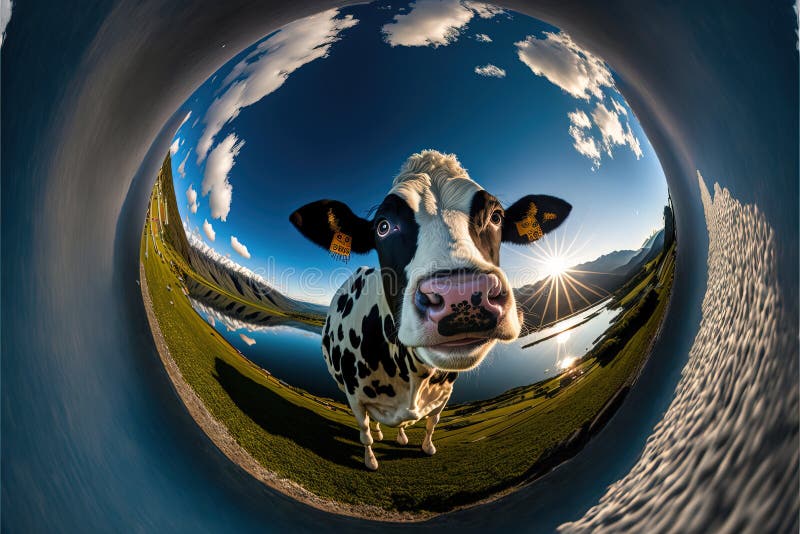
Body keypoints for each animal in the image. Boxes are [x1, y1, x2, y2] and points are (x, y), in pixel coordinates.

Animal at [289, 150, 571, 470]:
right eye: (383, 226)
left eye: (496, 217)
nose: (461, 295)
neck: (413, 377)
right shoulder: (353, 396)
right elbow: (364, 433)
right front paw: (371, 461)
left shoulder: (444, 395)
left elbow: (432, 424)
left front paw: (426, 447)